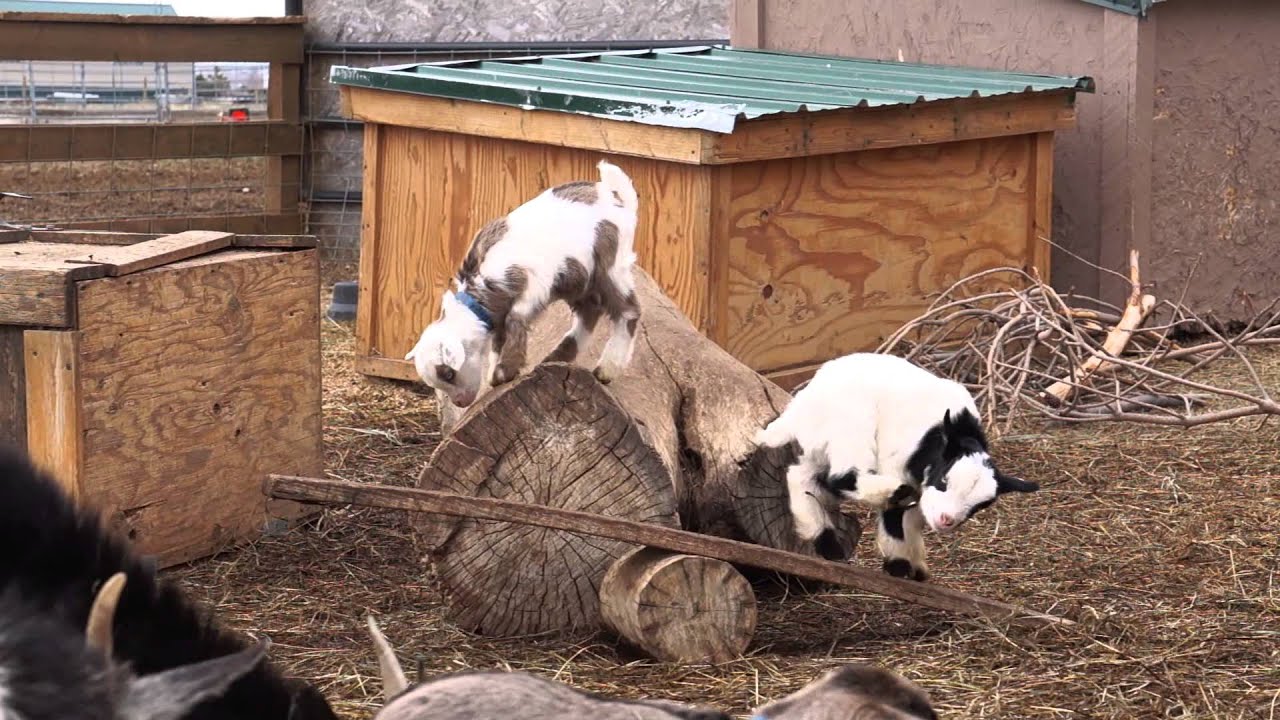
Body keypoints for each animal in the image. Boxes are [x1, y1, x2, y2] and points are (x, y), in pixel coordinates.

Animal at [406, 160, 642, 408]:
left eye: (448, 373)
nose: (460, 403)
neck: (481, 286)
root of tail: (619, 200)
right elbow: (499, 339)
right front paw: (497, 371)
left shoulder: (535, 284)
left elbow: (515, 319)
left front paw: (505, 370)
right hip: (578, 281)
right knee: (590, 311)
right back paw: (557, 357)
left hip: (611, 265)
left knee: (628, 310)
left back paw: (607, 368)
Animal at [753, 352, 1039, 581]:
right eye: (944, 480)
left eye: (982, 505)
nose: (946, 521)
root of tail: (805, 398)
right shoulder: (895, 464)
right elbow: (894, 515)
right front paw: (899, 564)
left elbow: (912, 518)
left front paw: (916, 566)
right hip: (851, 427)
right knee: (842, 477)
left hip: (821, 443)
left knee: (801, 476)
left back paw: (822, 537)